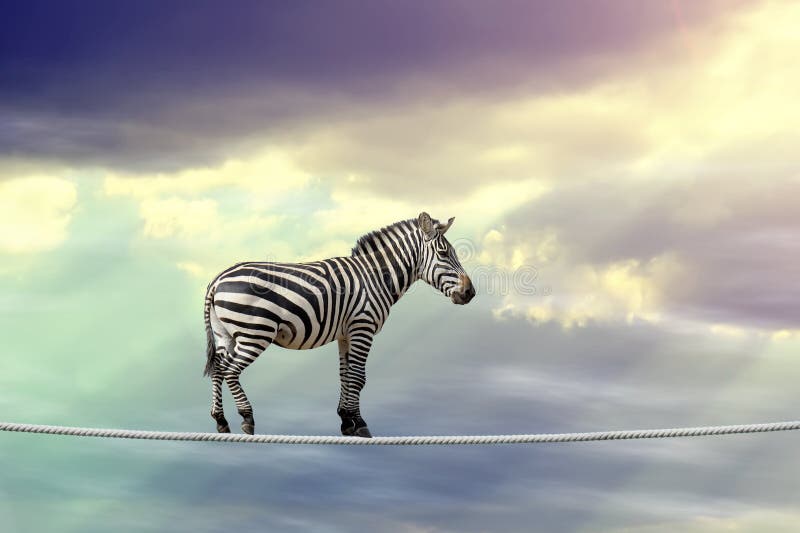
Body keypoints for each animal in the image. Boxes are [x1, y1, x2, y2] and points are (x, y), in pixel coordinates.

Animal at [203, 212, 476, 438]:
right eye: (444, 254)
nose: (470, 293)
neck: (376, 277)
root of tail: (218, 279)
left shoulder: (346, 334)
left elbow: (345, 375)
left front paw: (346, 421)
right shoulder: (363, 327)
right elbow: (358, 377)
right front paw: (360, 424)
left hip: (226, 334)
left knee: (218, 368)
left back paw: (221, 421)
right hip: (256, 332)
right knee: (231, 370)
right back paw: (247, 417)